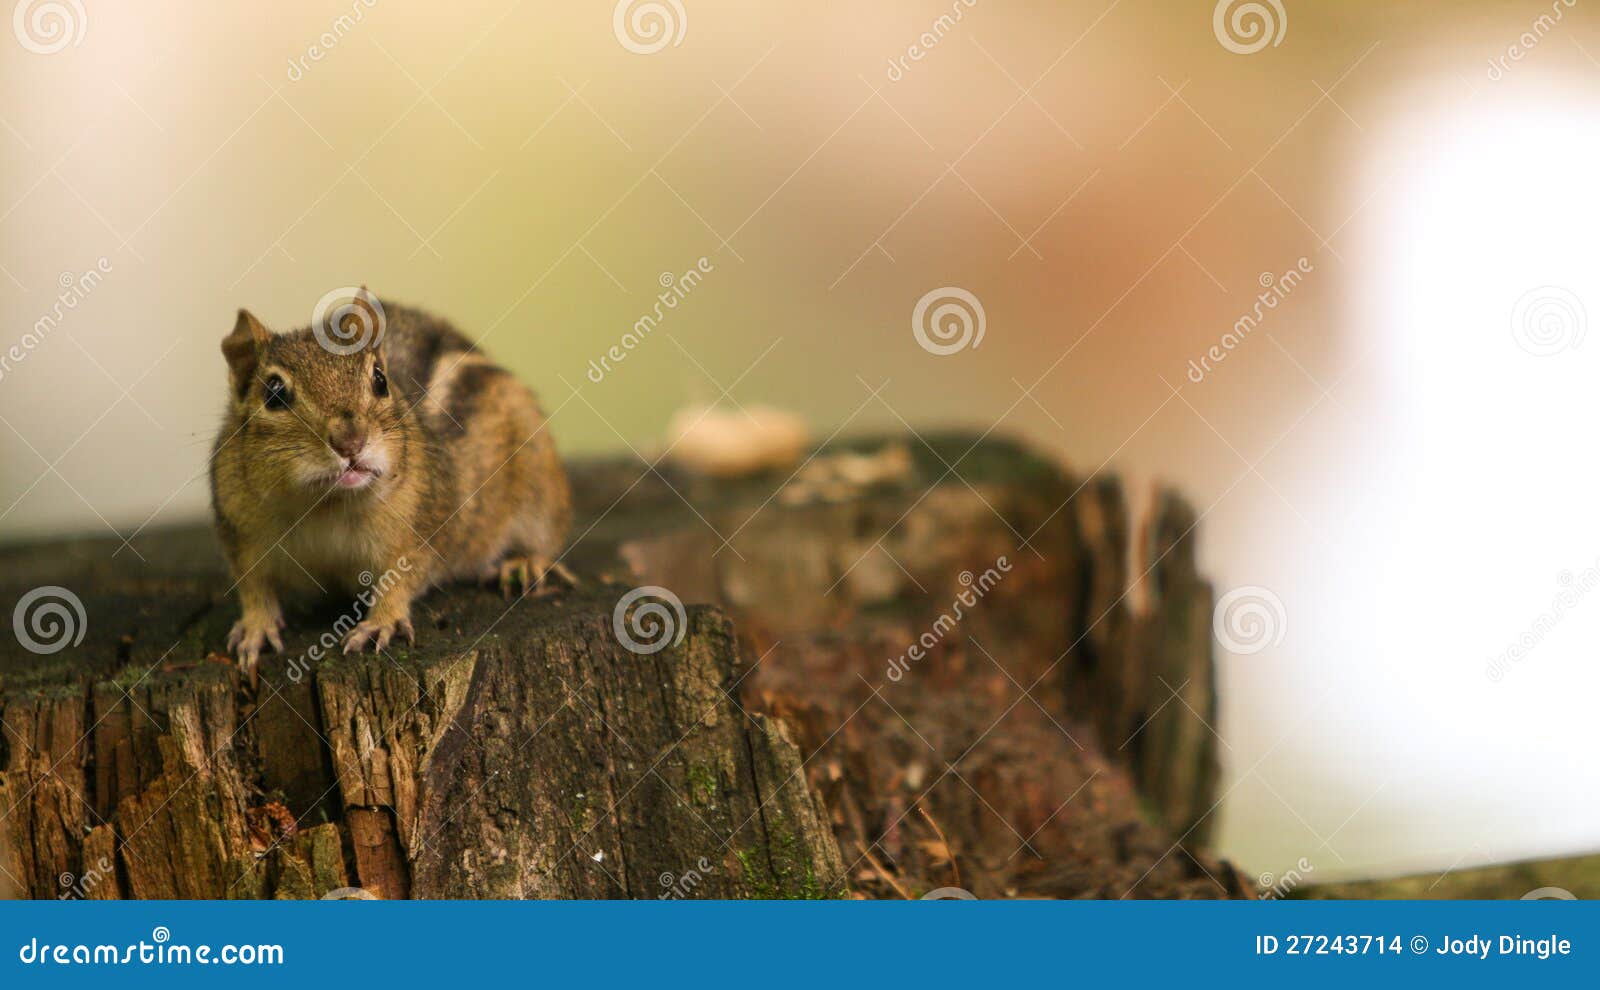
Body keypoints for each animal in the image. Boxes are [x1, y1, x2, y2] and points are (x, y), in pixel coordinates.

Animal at [210, 288, 573, 681]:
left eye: (380, 380)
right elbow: (253, 586)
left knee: (543, 539)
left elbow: (400, 580)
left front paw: (379, 623)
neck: (325, 505)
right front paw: (255, 627)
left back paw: (523, 563)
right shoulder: (241, 534)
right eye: (274, 393)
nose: (350, 442)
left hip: (539, 487)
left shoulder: (419, 532)